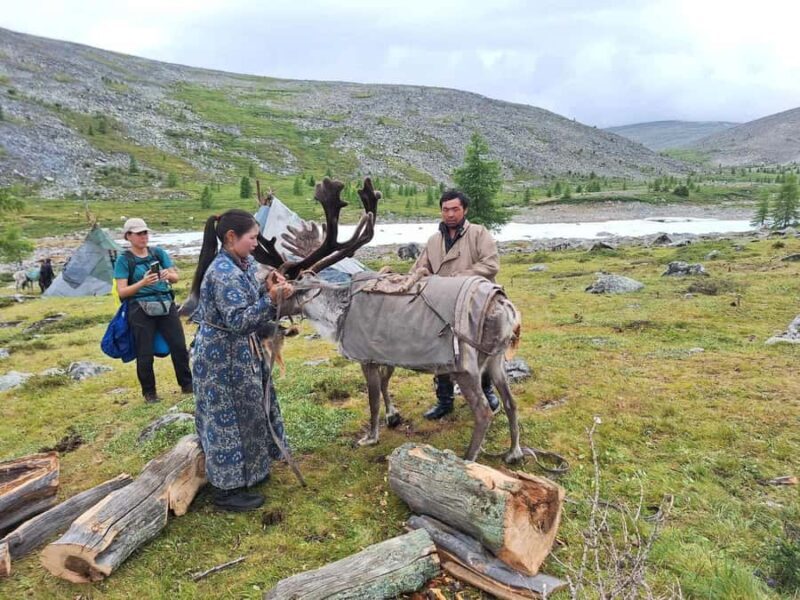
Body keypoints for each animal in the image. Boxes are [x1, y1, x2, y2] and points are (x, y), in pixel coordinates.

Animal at [251, 177, 523, 463]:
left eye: (278, 286)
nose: (264, 310)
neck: (337, 314)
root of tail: (505, 307)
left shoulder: (366, 358)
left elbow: (372, 399)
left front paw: (371, 436)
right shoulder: (386, 352)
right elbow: (385, 383)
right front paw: (393, 415)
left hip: (467, 367)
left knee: (483, 410)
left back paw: (468, 458)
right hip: (496, 359)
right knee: (511, 401)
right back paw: (513, 451)